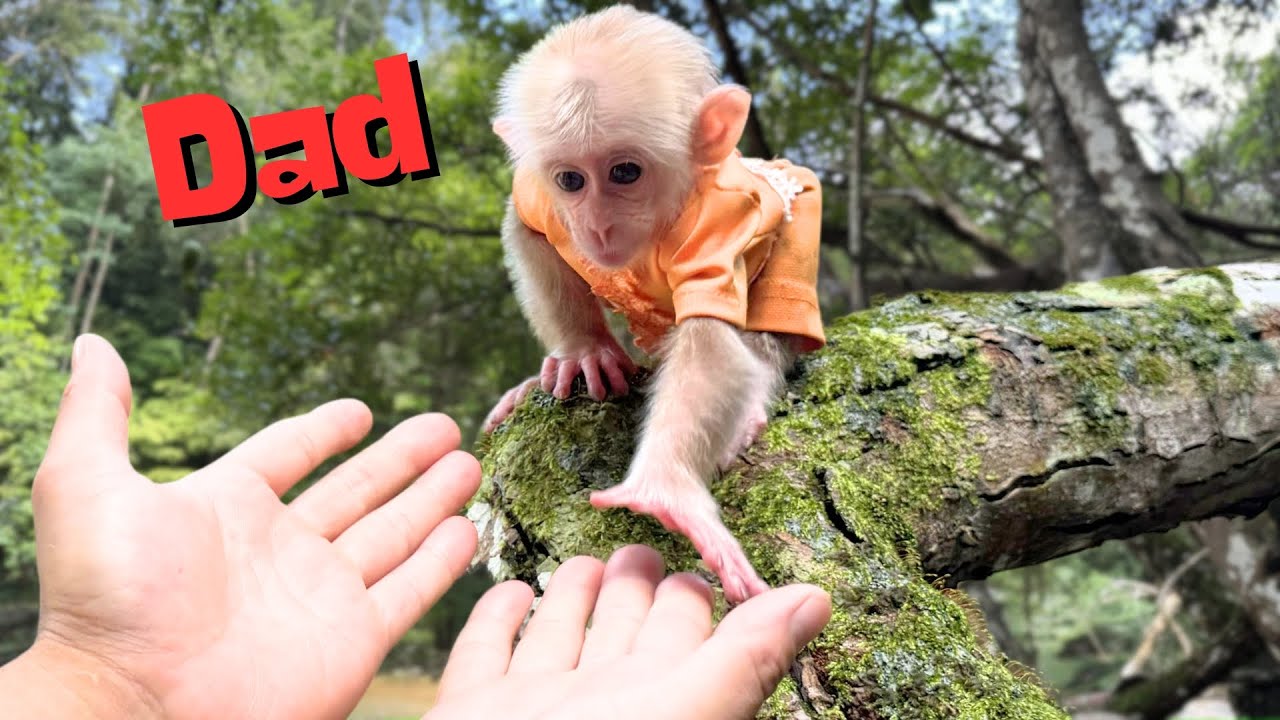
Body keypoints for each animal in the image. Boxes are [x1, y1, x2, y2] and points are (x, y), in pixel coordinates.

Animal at [481, 5, 826, 604]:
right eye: (570, 180)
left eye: (625, 172)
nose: (596, 225)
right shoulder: (539, 199)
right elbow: (526, 228)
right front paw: (585, 350)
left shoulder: (716, 223)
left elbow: (712, 348)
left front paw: (667, 490)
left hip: (799, 219)